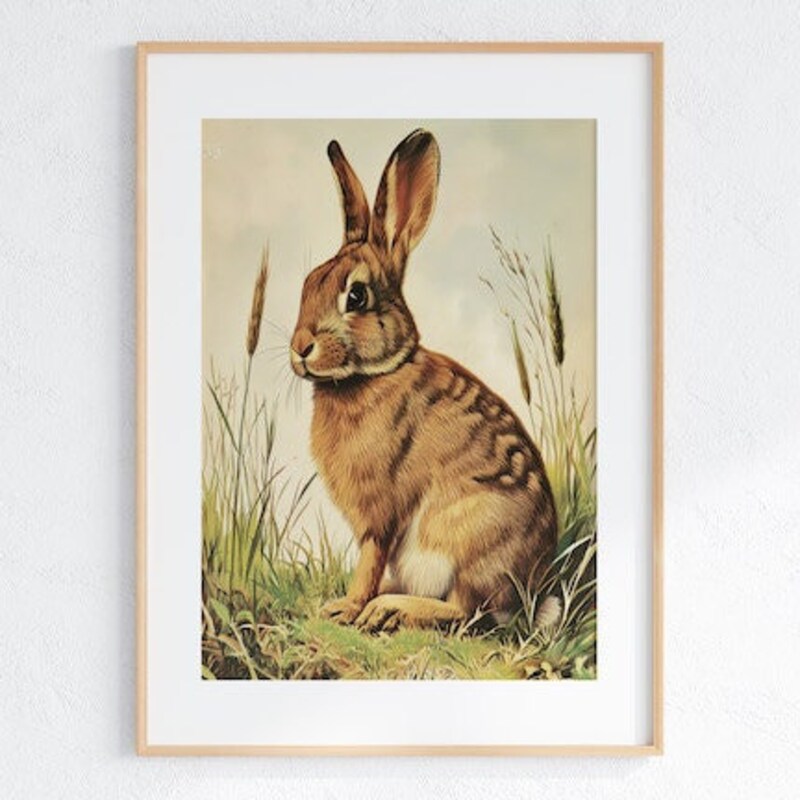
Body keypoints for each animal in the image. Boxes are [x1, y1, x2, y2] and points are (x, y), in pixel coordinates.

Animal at [290, 129, 558, 633]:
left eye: (356, 296)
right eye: (310, 281)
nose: (300, 348)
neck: (374, 374)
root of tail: (532, 593)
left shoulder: (380, 516)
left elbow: (369, 561)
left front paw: (346, 607)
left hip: (462, 537)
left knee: (464, 611)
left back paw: (389, 609)